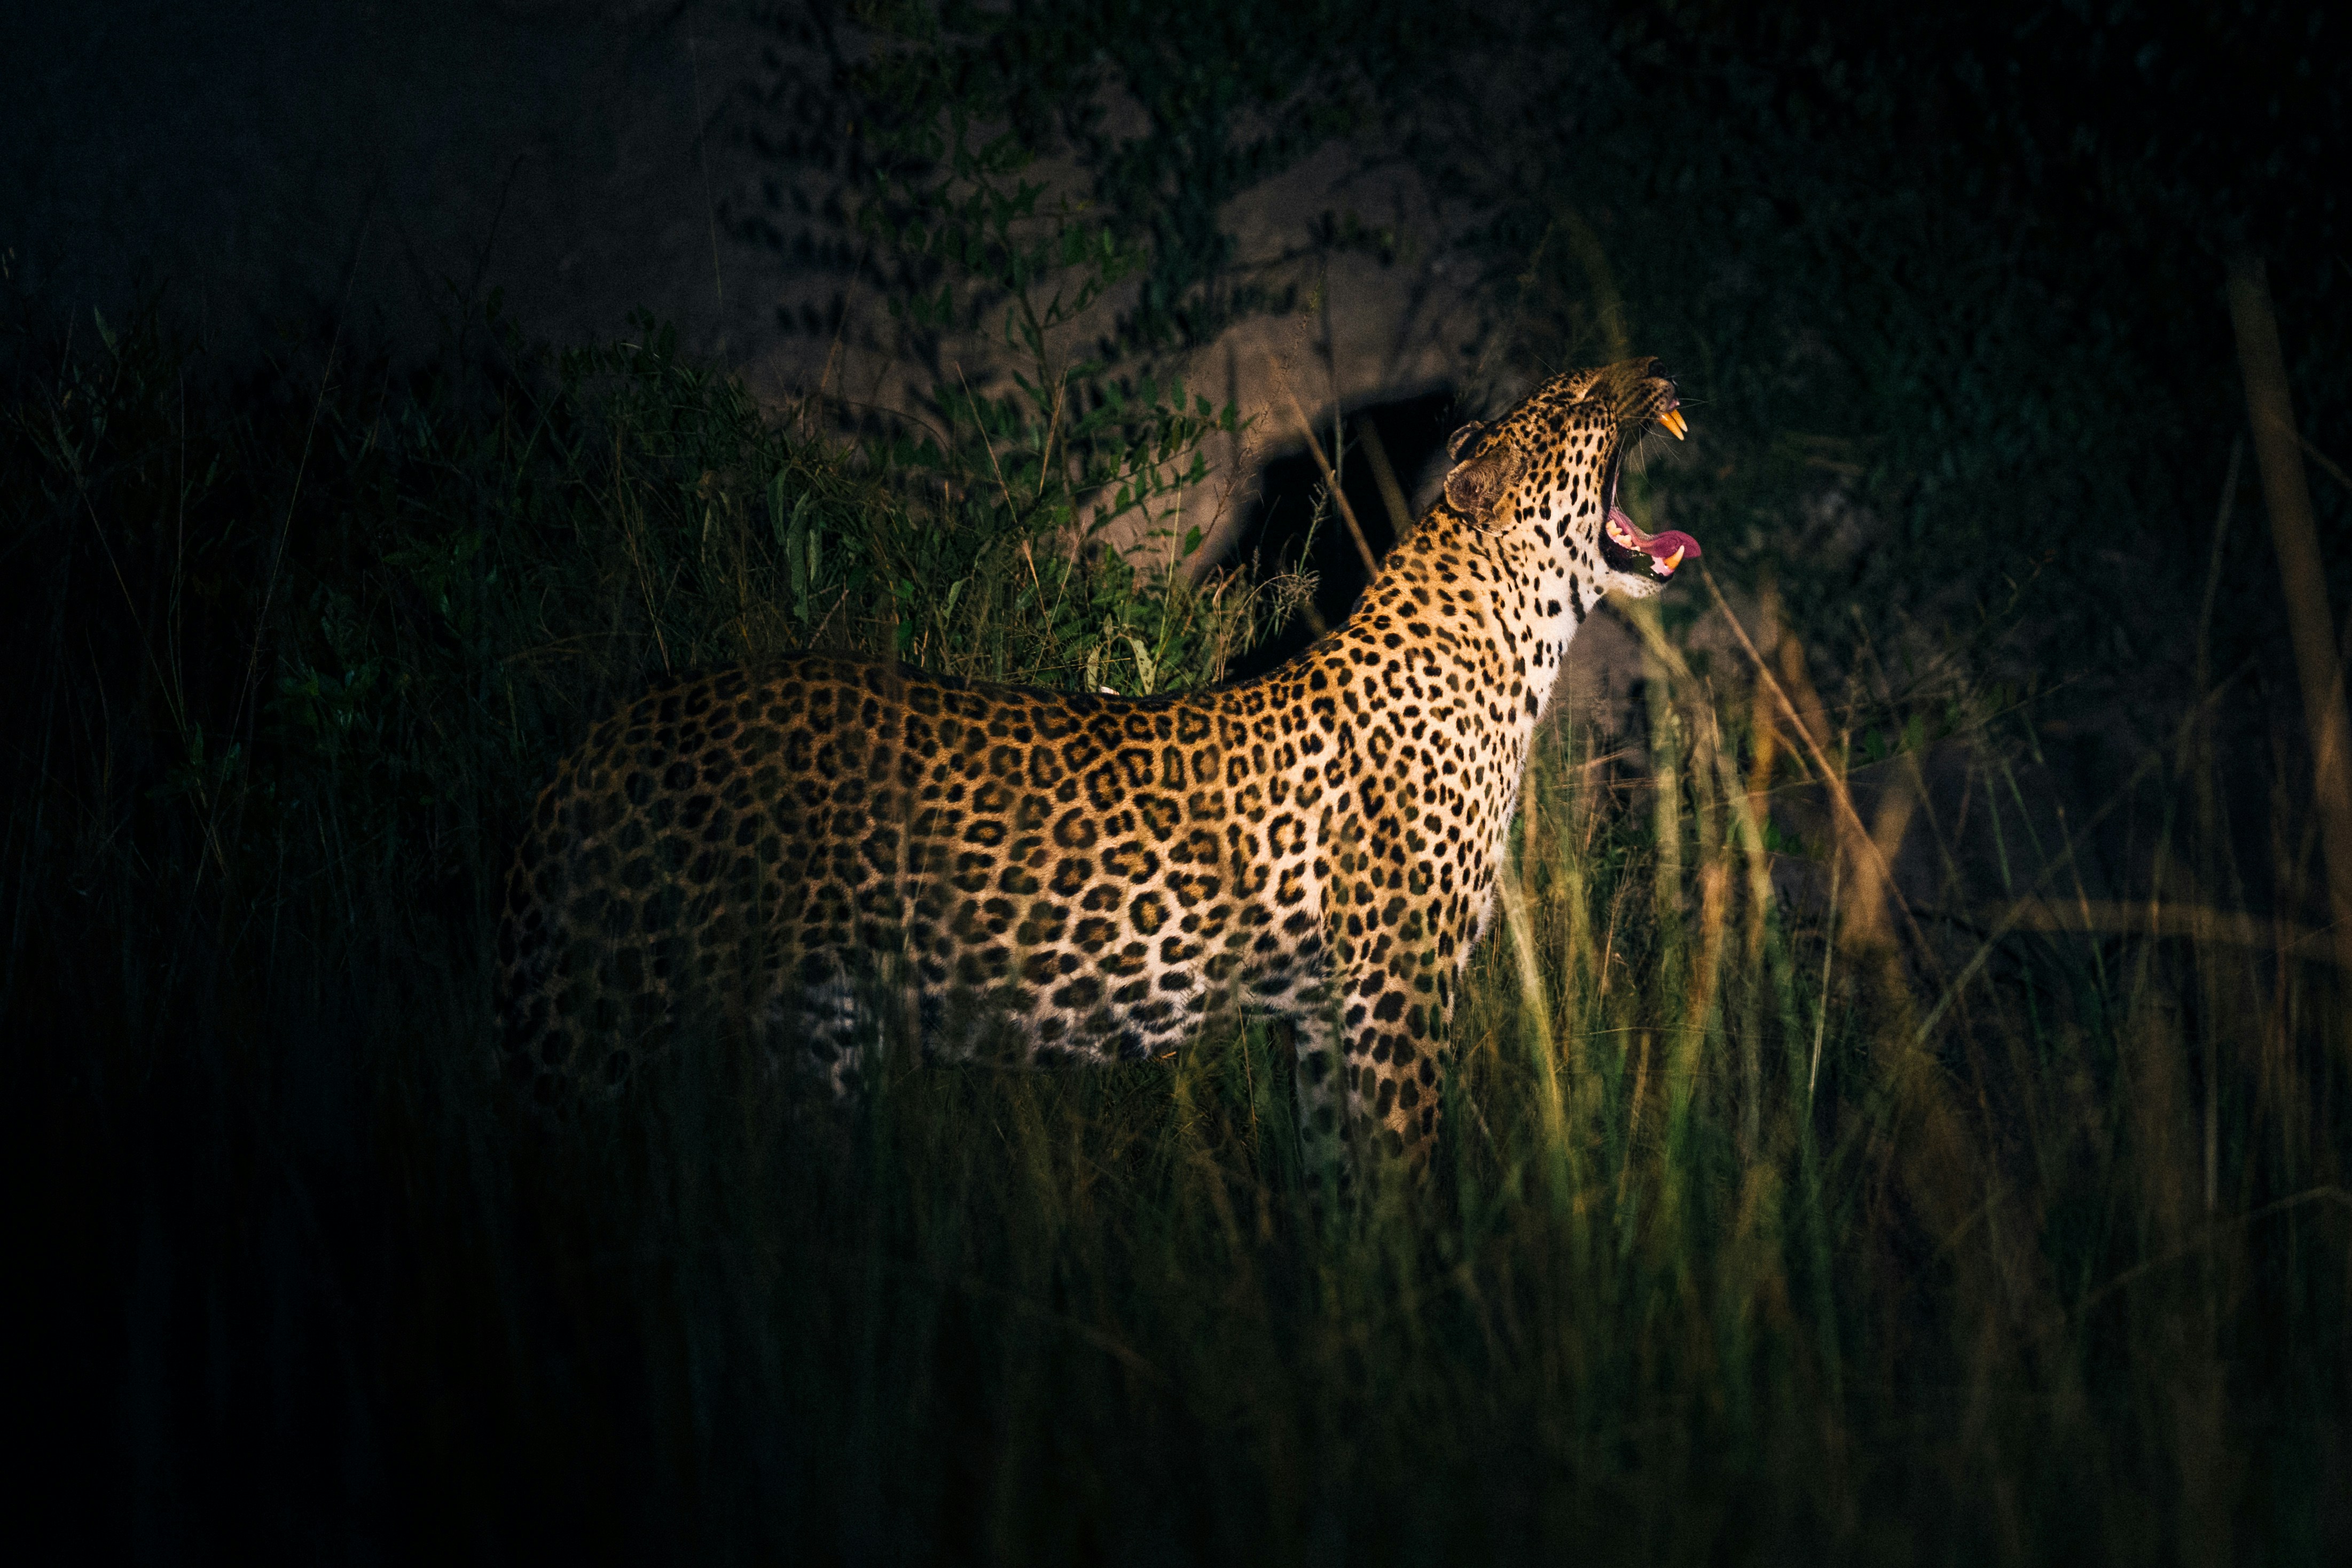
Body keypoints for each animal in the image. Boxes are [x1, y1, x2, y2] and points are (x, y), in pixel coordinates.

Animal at [494, 356, 1698, 1175]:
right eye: (1583, 400)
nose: (1657, 370)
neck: (1511, 649)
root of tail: (591, 744)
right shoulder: (1394, 996)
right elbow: (1402, 1188)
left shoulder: (1323, 1019)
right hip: (609, 1011)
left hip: (816, 1030)